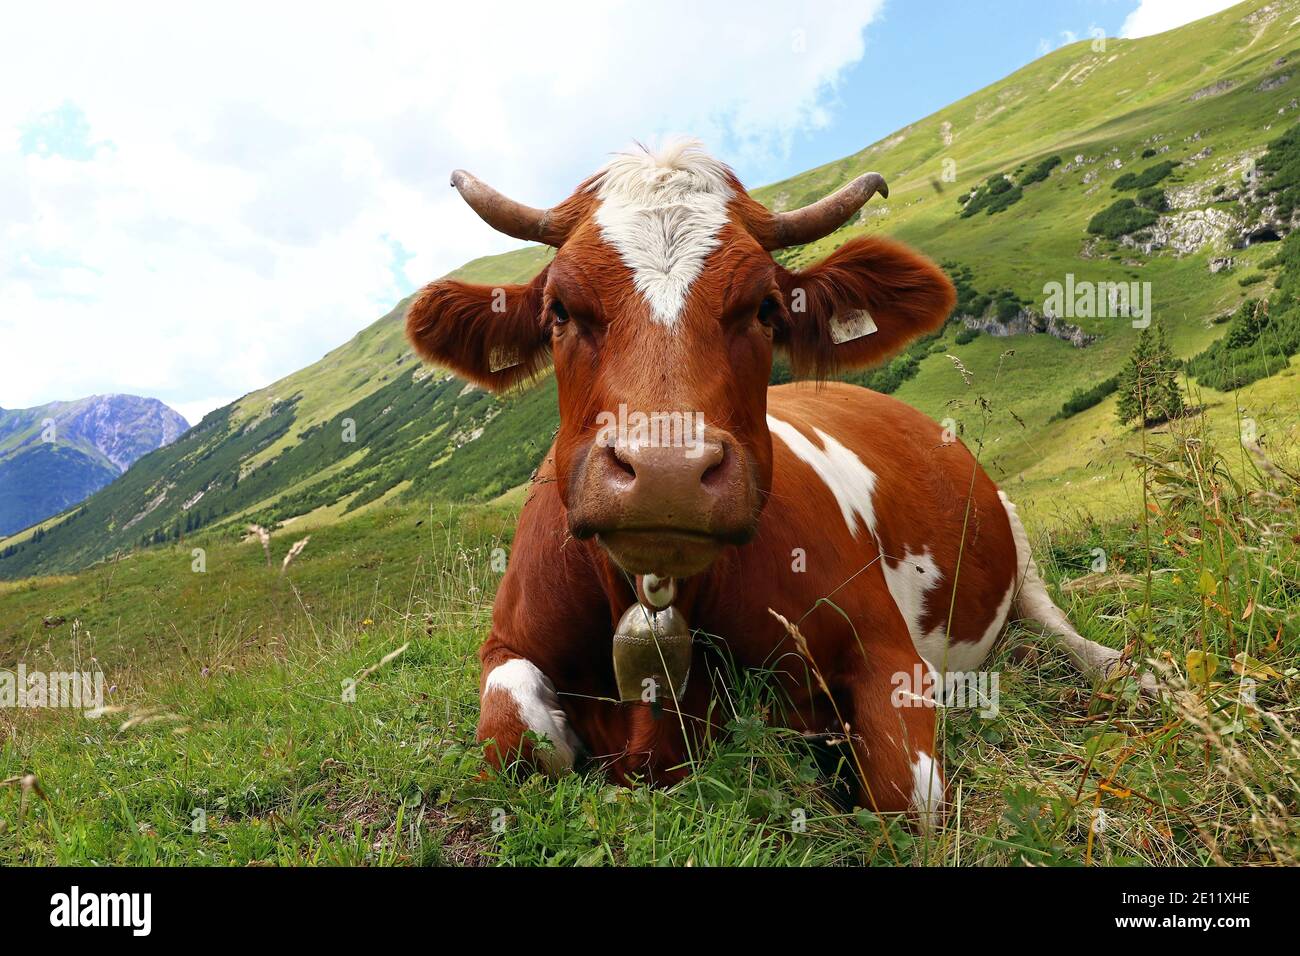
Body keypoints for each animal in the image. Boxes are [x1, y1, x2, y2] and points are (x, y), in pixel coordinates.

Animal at [406, 139, 1138, 826]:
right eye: (559, 310)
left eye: (764, 308)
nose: (667, 473)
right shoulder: (506, 644)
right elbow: (513, 726)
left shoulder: (889, 652)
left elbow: (906, 800)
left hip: (1010, 523)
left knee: (1050, 617)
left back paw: (1121, 669)